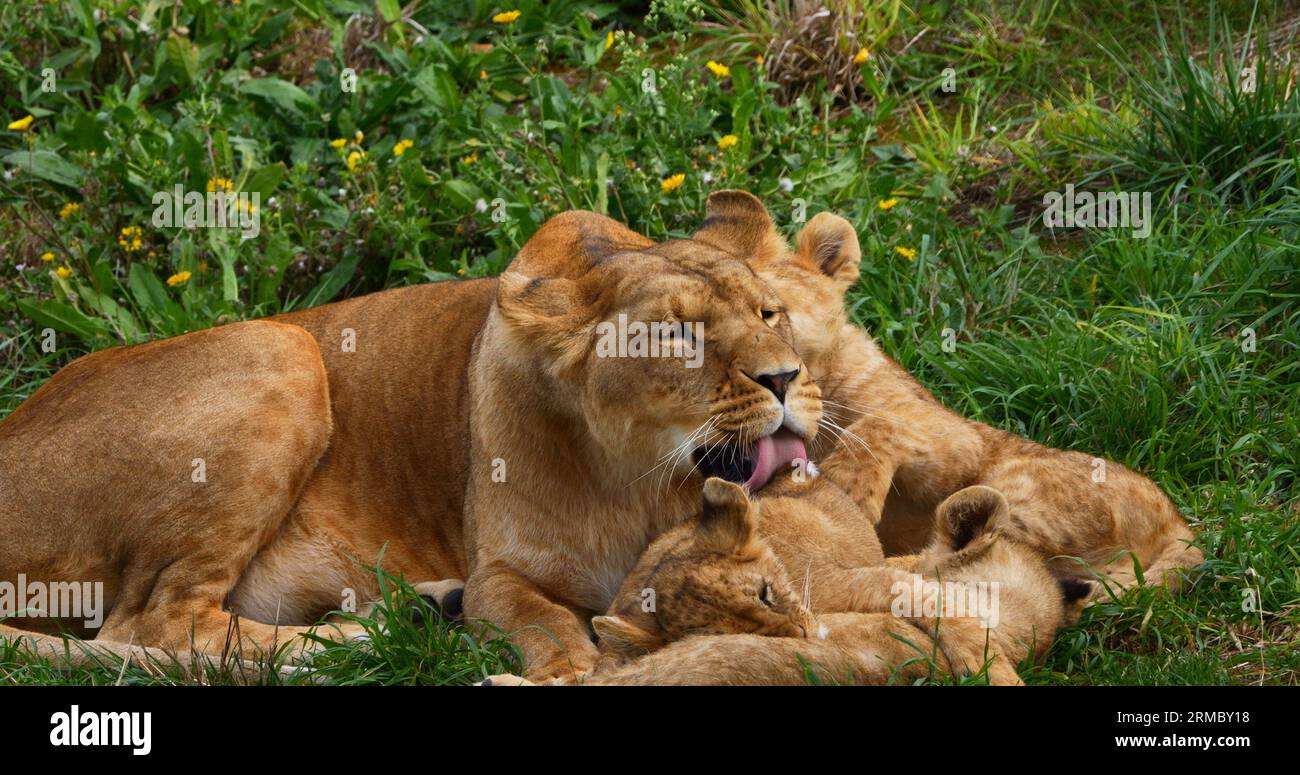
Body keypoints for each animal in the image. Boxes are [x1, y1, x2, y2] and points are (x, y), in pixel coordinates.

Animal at [0, 204, 831, 681]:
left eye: (770, 313)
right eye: (679, 336)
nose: (786, 377)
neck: (646, 480)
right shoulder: (500, 569)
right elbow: (541, 618)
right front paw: (571, 666)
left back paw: (419, 610)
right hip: (280, 347)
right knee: (155, 621)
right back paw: (369, 638)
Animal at [695, 191, 1203, 593]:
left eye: (769, 311)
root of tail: (1177, 523)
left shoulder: (957, 441)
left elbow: (881, 424)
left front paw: (848, 487)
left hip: (1016, 482)